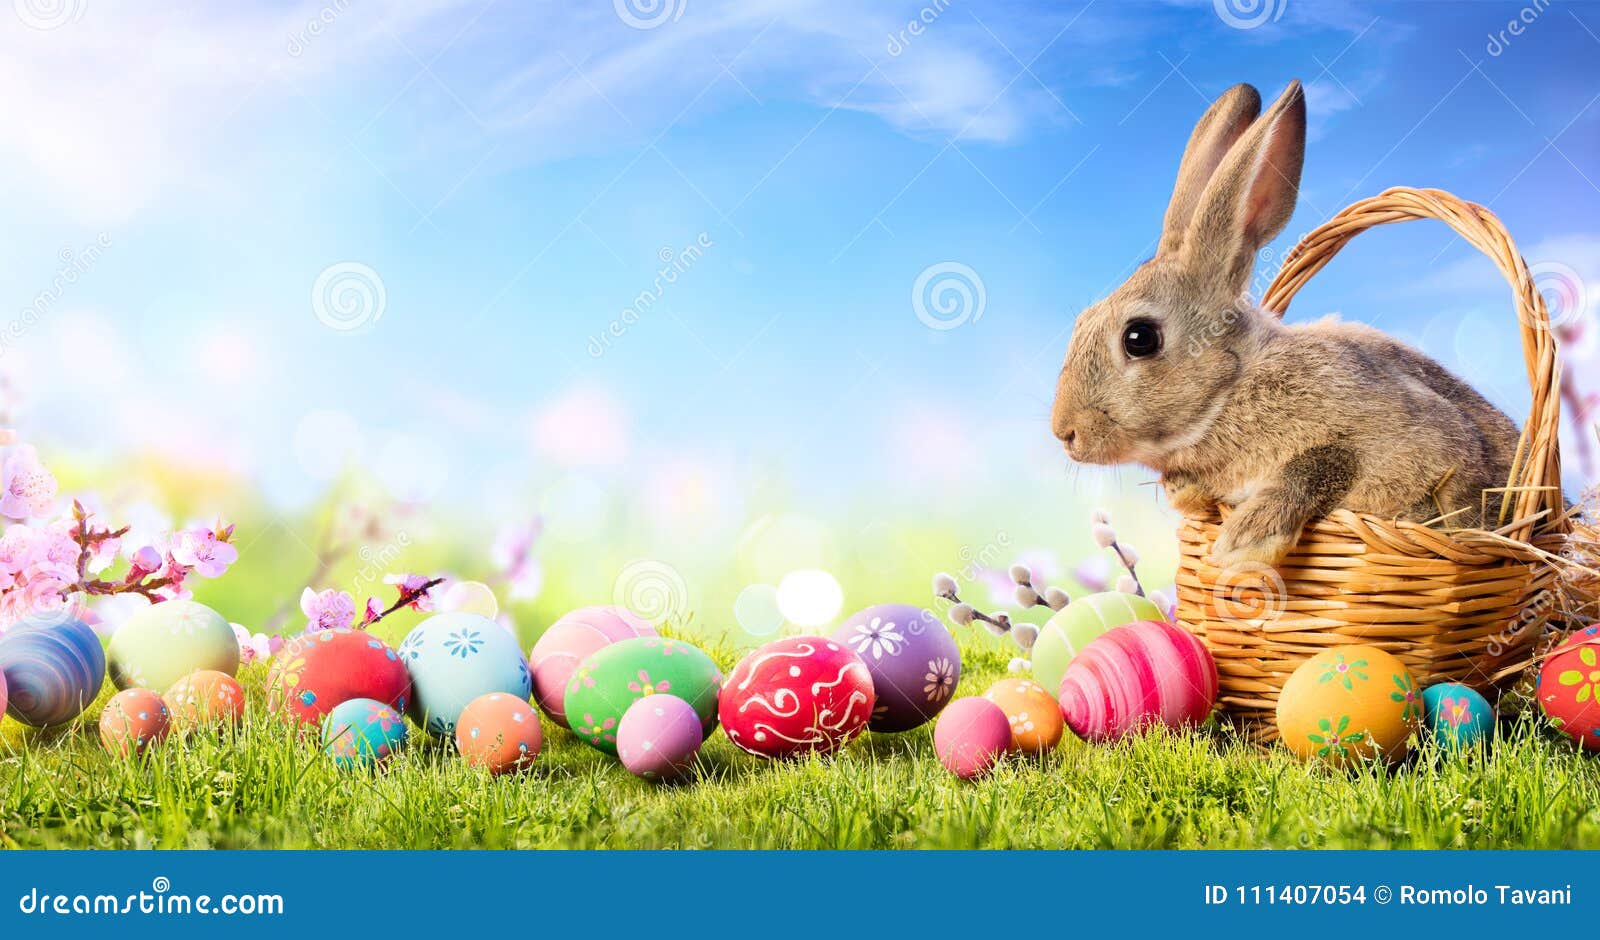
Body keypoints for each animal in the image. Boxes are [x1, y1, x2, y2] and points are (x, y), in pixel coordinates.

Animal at [1050, 79, 1521, 570]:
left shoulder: (1416, 442)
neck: (1232, 389)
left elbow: (1322, 461)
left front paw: (1246, 539)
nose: (1065, 432)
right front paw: (1194, 497)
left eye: (1139, 338)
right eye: (1081, 320)